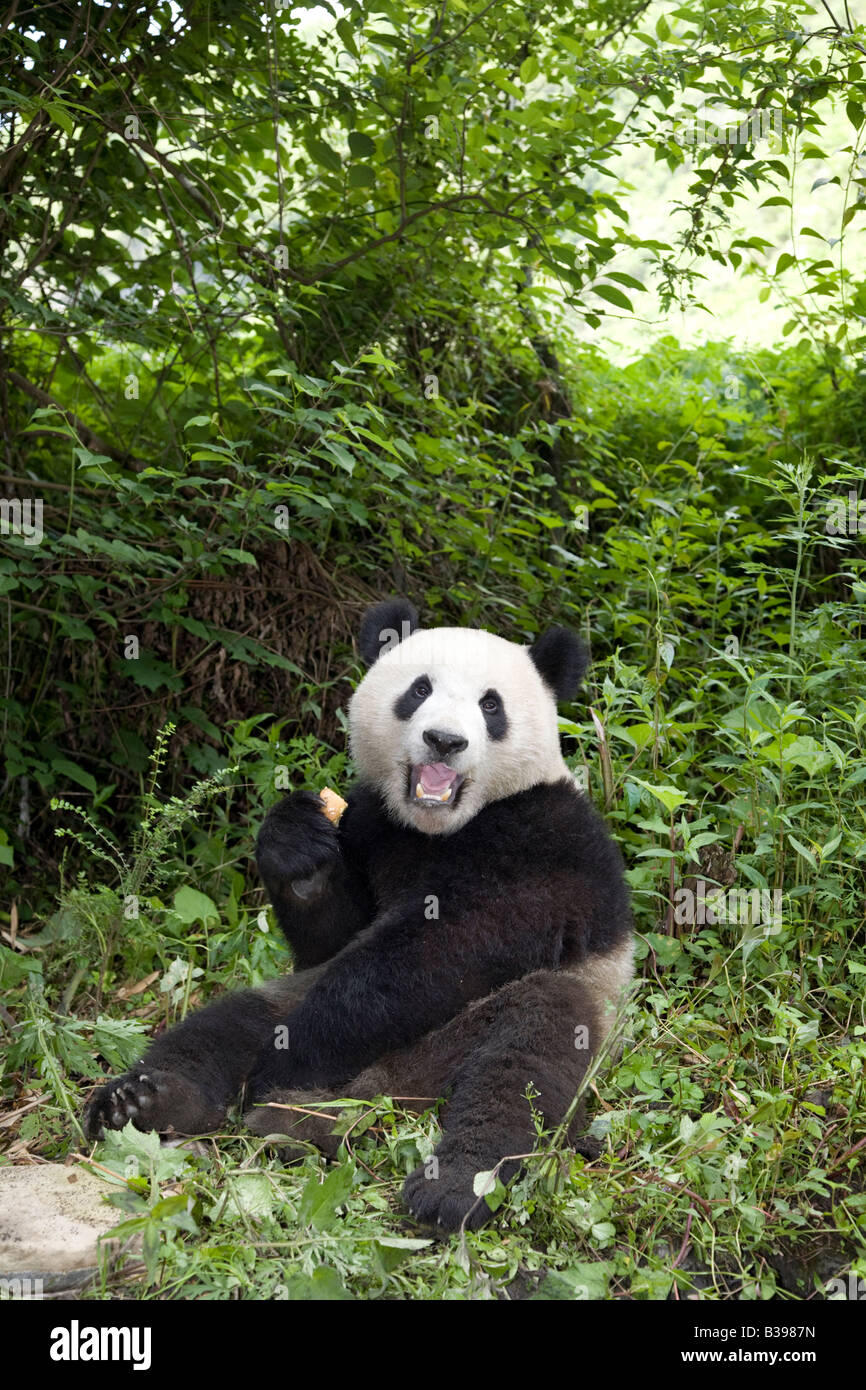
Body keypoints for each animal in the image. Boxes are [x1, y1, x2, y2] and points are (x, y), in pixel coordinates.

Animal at [84, 599, 633, 1232]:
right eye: (419, 689)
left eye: (491, 705)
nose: (444, 741)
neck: (440, 826)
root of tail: (381, 1092)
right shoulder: (374, 824)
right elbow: (336, 936)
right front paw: (298, 846)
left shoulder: (546, 841)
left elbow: (446, 948)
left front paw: (298, 1054)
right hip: (290, 1000)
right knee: (230, 1023)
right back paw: (140, 1102)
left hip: (520, 1024)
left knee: (527, 1057)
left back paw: (451, 1187)